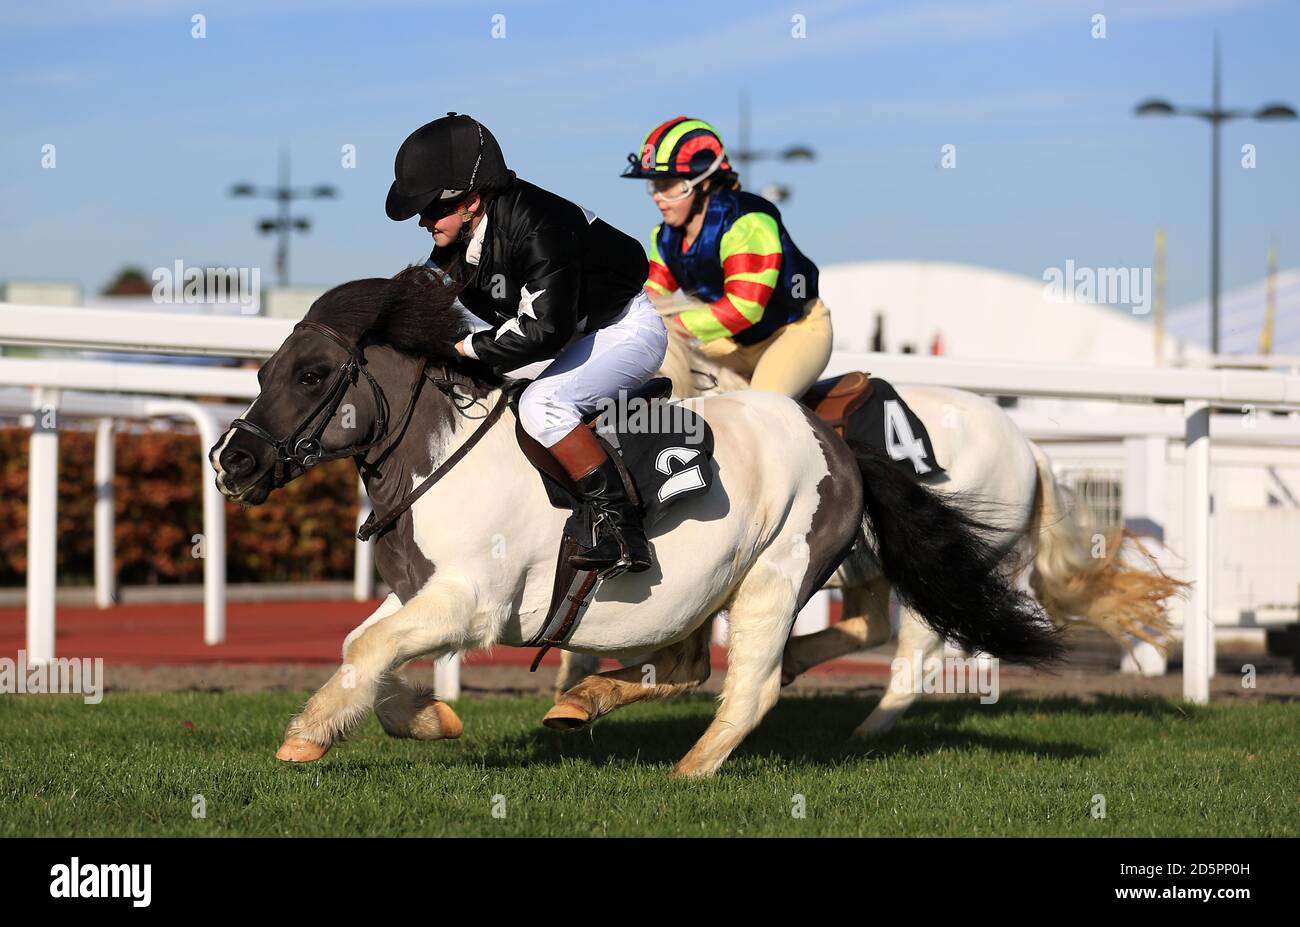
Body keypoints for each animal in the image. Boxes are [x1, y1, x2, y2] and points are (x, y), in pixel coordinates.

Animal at [209, 267, 1064, 776]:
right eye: (263, 370)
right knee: (693, 664)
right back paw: (584, 701)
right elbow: (367, 648)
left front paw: (306, 733)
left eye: (314, 373)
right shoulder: (422, 591)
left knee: (772, 682)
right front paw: (427, 719)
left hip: (774, 576)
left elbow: (371, 647)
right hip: (705, 585)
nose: (232, 459)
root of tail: (839, 443)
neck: (442, 458)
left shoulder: (470, 601)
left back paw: (697, 765)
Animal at [554, 315, 1186, 737]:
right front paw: (573, 683)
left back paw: (865, 732)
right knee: (873, 626)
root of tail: (1028, 448)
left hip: (941, 571)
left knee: (915, 658)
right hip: (876, 568)